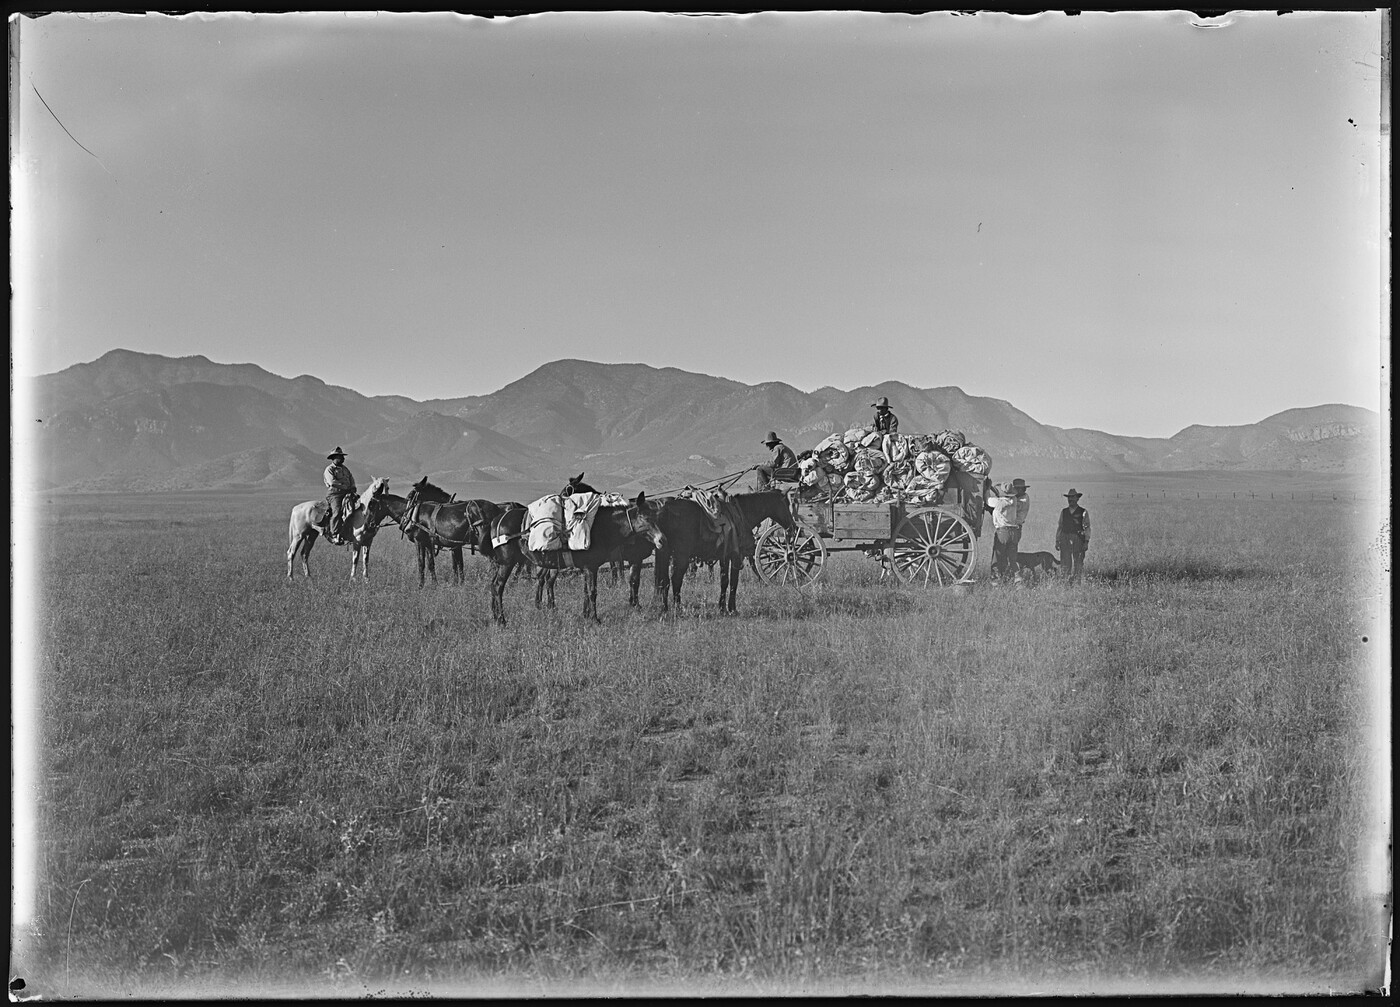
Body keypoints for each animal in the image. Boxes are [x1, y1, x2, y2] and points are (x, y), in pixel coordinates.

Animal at [476, 492, 666, 625]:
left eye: (657, 517)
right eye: (644, 517)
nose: (662, 539)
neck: (604, 527)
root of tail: (497, 520)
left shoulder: (590, 568)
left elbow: (586, 591)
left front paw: (586, 615)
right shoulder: (592, 566)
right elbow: (593, 591)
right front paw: (595, 619)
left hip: (503, 564)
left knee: (494, 585)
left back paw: (496, 616)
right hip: (507, 563)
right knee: (499, 587)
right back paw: (502, 620)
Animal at [652, 489, 797, 614]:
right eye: (786, 504)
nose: (793, 527)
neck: (741, 512)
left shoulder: (724, 556)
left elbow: (724, 581)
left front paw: (722, 608)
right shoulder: (736, 556)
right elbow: (733, 582)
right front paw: (732, 609)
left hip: (665, 554)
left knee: (663, 580)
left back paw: (664, 608)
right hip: (681, 557)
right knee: (675, 579)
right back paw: (677, 608)